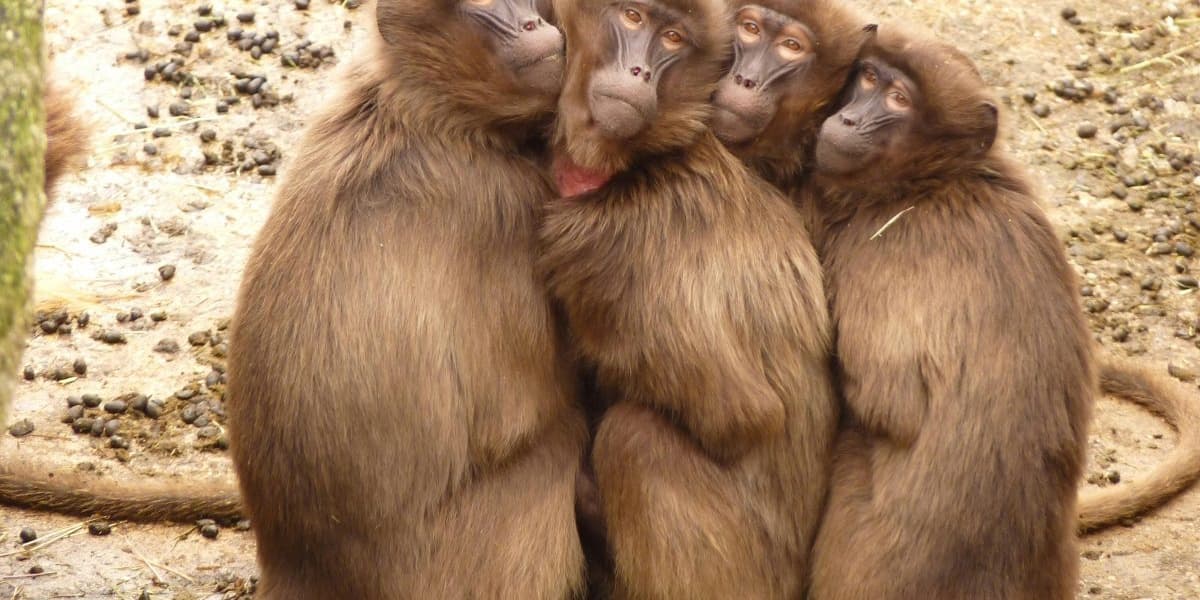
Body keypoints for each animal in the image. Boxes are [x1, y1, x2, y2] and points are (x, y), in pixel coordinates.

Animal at [541, 0, 838, 596]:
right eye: (632, 17)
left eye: (673, 38)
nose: (639, 71)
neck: (639, 163)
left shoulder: (617, 248)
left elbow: (741, 415)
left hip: (750, 573)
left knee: (635, 440)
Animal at [803, 23, 1092, 599]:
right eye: (868, 78)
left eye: (898, 99)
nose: (847, 119)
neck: (936, 183)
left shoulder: (883, 248)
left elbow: (889, 402)